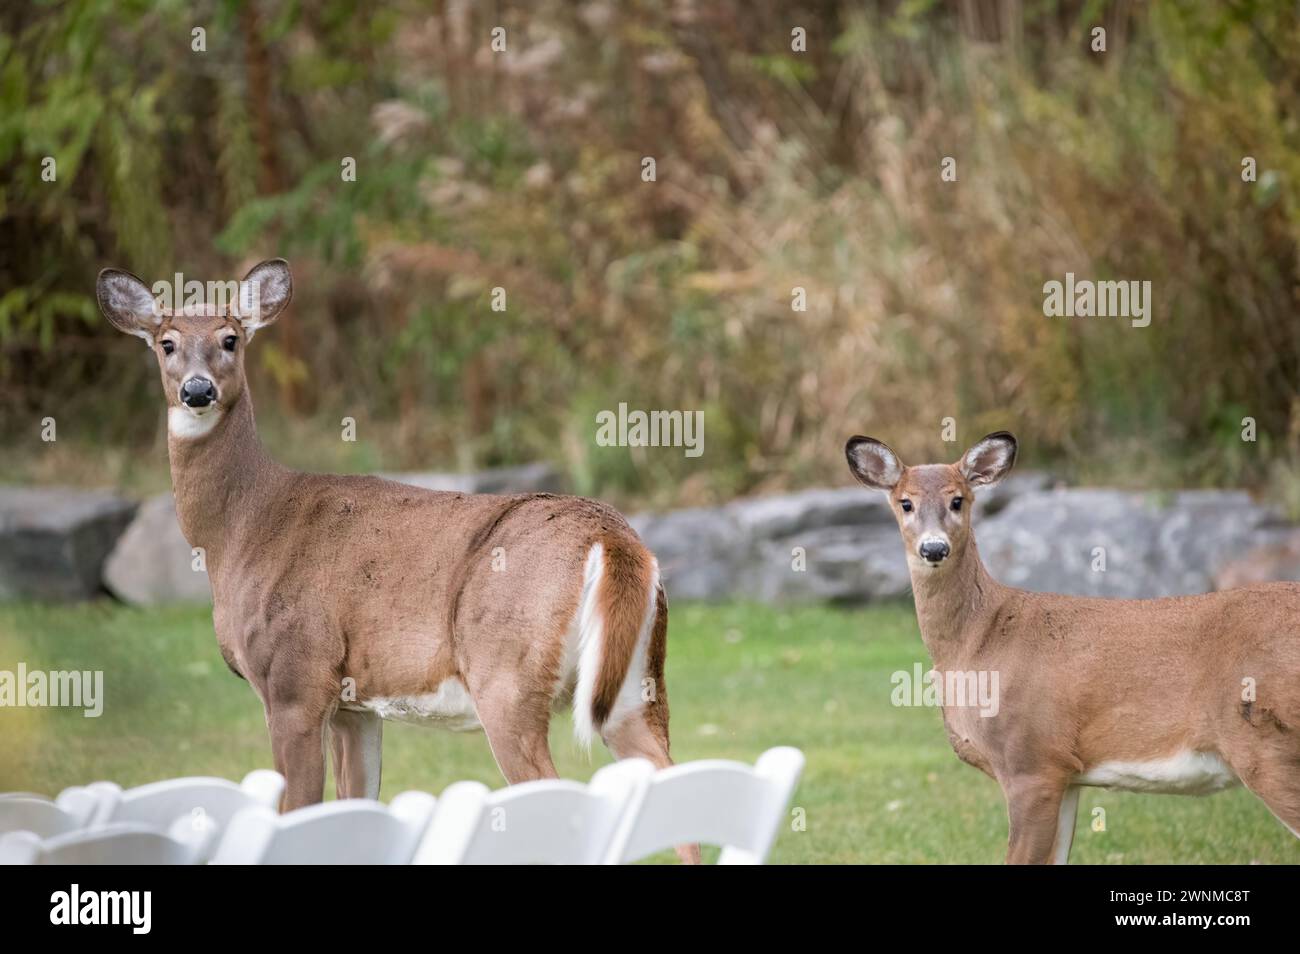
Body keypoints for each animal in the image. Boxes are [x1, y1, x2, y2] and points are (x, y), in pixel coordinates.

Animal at [97, 260, 698, 862]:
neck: (243, 530)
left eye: (230, 339)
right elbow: (354, 810)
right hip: (638, 687)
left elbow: (299, 814)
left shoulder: (295, 678)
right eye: (167, 343)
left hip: (507, 677)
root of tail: (612, 538)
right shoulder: (355, 705)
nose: (198, 390)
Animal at [845, 431, 1300, 864]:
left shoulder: (1031, 761)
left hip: (1268, 745)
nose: (934, 547)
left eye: (958, 500)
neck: (978, 642)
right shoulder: (1065, 773)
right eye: (905, 503)